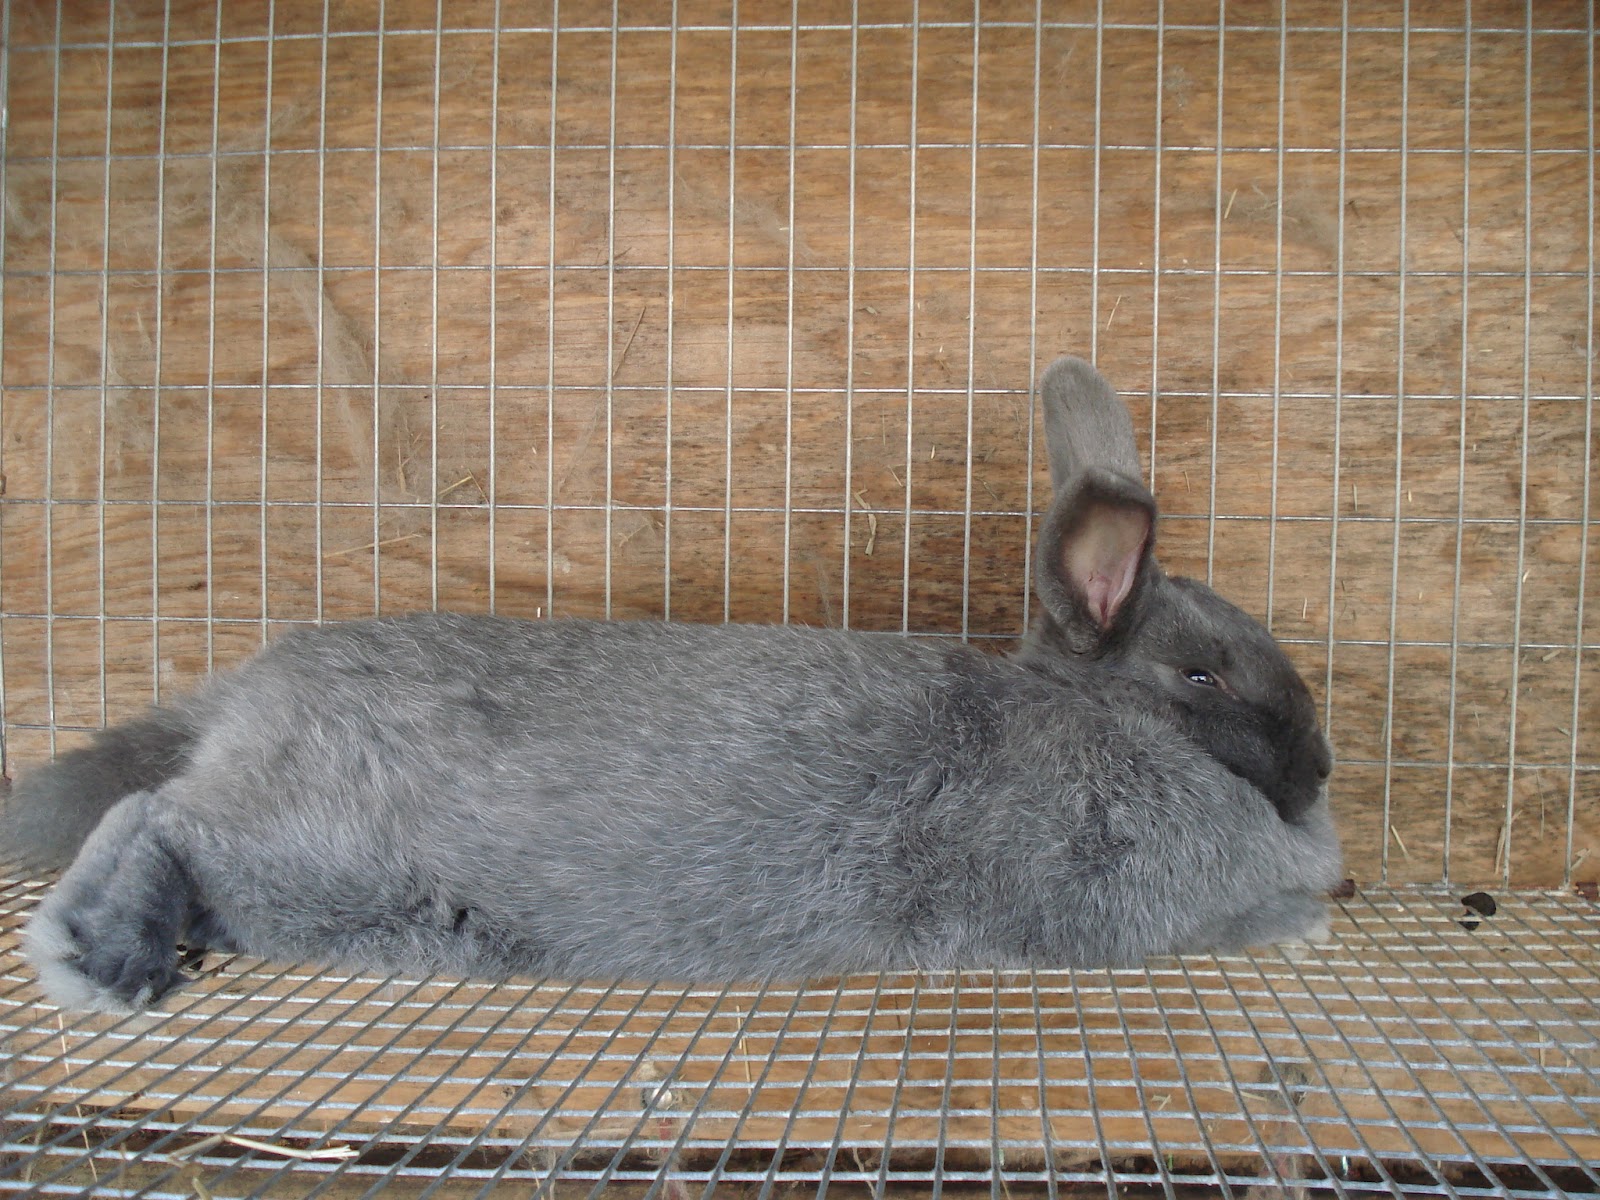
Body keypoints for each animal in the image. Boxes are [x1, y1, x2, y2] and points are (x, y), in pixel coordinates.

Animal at [1, 357, 1342, 1014]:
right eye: (1201, 672)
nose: (1321, 770)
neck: (1091, 714)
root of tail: (245, 695)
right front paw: (1305, 915)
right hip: (322, 849)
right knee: (158, 817)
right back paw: (98, 958)